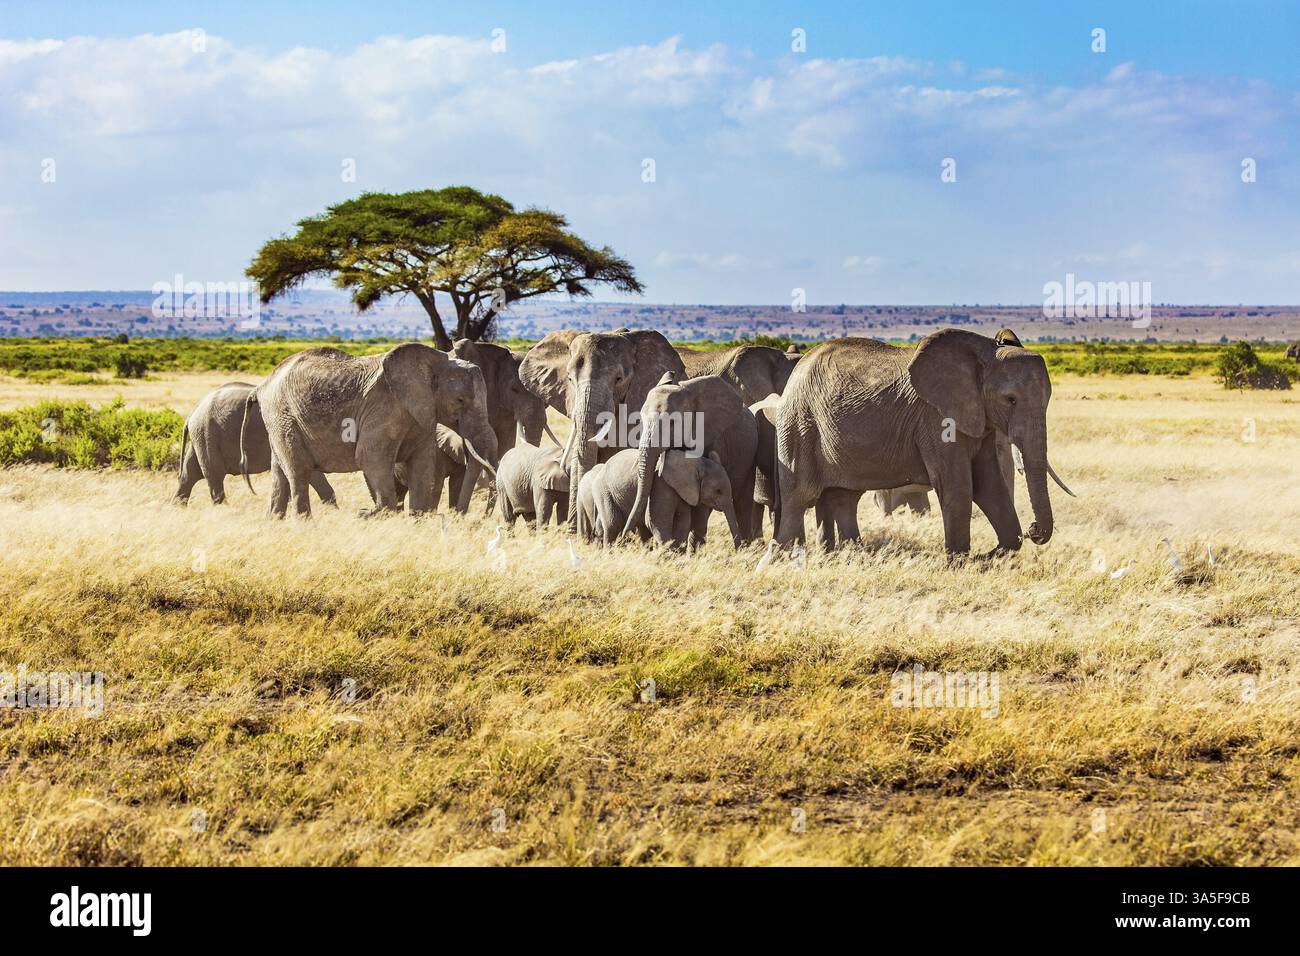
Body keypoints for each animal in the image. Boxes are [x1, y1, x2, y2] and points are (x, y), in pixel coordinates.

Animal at [244, 344, 498, 518]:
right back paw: (304, 525)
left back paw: (275, 522)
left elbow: (422, 466)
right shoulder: (385, 407)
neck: (436, 359)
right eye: (460, 400)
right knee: (298, 472)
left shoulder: (423, 413)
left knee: (280, 474)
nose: (474, 518)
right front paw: (375, 515)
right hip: (283, 414)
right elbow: (371, 458)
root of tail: (262, 385)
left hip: (278, 418)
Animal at [621, 372, 756, 548]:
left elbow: (702, 500)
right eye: (641, 420)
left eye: (672, 422)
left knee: (743, 501)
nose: (624, 536)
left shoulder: (712, 437)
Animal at [775, 330, 1074, 555]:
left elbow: (989, 485)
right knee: (800, 496)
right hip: (800, 423)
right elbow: (959, 487)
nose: (1033, 529)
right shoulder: (935, 418)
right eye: (1010, 399)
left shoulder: (979, 417)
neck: (987, 353)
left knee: (842, 496)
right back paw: (786, 558)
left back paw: (851, 555)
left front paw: (991, 555)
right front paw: (960, 563)